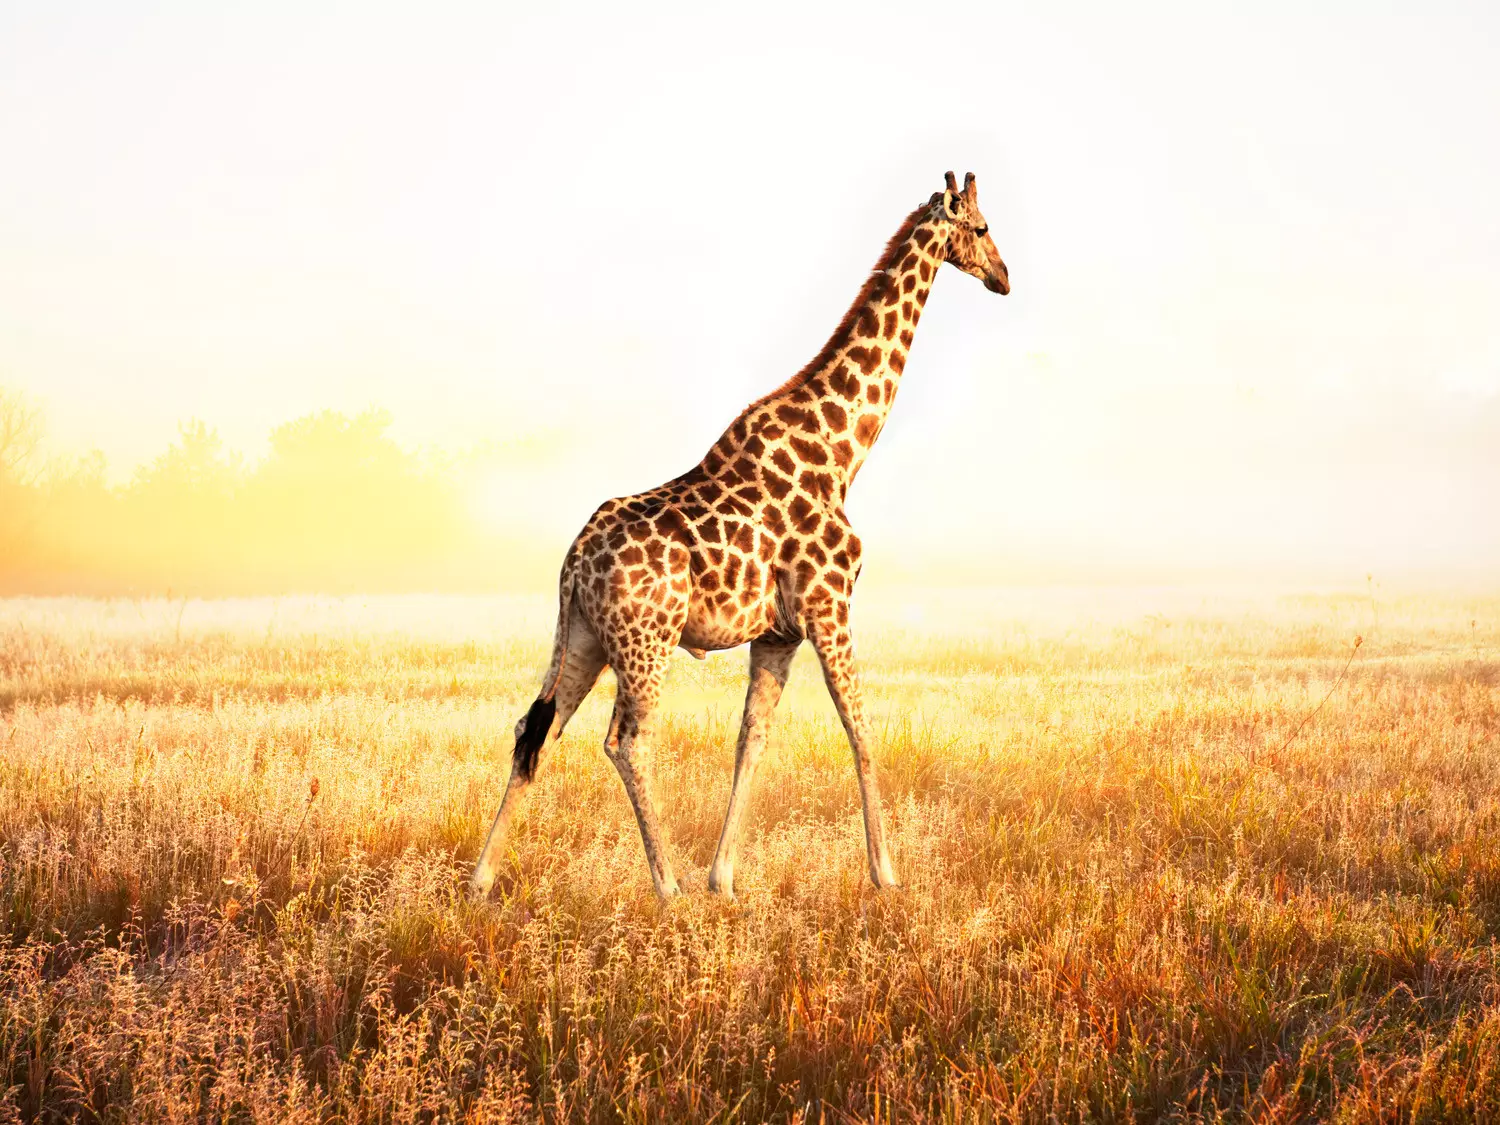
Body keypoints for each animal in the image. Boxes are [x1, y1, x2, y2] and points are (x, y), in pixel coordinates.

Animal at [470, 170, 1009, 901]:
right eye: (981, 228)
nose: (1004, 277)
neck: (842, 449)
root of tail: (573, 562)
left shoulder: (778, 632)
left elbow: (750, 739)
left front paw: (724, 877)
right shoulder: (829, 607)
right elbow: (861, 729)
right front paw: (886, 875)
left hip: (584, 636)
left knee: (537, 728)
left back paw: (481, 880)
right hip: (646, 641)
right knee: (626, 740)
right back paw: (665, 886)